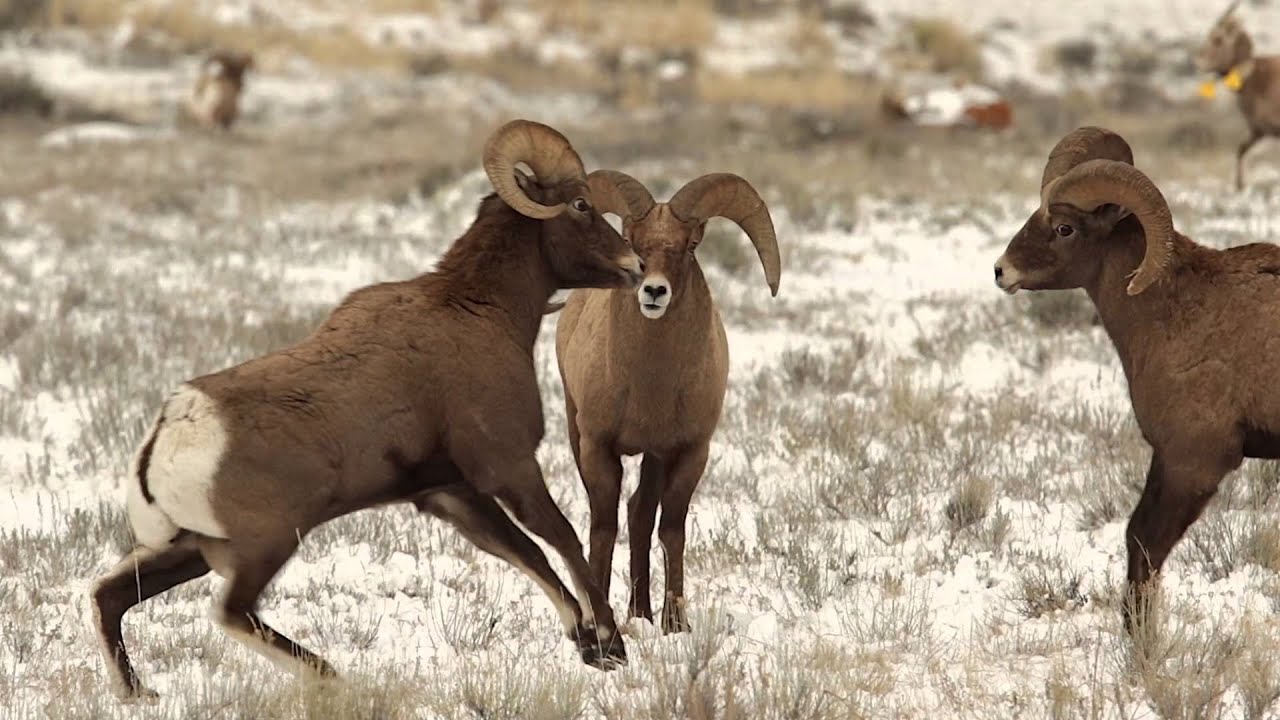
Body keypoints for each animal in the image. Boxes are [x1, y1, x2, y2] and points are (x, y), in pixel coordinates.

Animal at [90, 119, 643, 701]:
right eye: (580, 204)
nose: (636, 267)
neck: (480, 311)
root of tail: (174, 428)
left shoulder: (450, 493)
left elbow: (526, 554)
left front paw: (587, 644)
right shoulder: (509, 467)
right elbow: (564, 541)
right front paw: (608, 645)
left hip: (190, 549)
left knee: (110, 597)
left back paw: (138, 693)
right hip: (264, 546)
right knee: (229, 614)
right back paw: (330, 675)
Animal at [554, 170, 780, 632]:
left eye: (689, 246)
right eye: (631, 240)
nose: (653, 292)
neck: (649, 387)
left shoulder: (688, 451)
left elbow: (671, 530)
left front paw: (676, 624)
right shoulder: (598, 448)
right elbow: (603, 528)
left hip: (654, 458)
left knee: (641, 514)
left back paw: (640, 613)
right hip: (576, 432)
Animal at [993, 125, 1280, 631]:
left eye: (1064, 228)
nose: (1000, 271)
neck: (1172, 312)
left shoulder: (1191, 463)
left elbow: (1142, 542)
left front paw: (1140, 638)